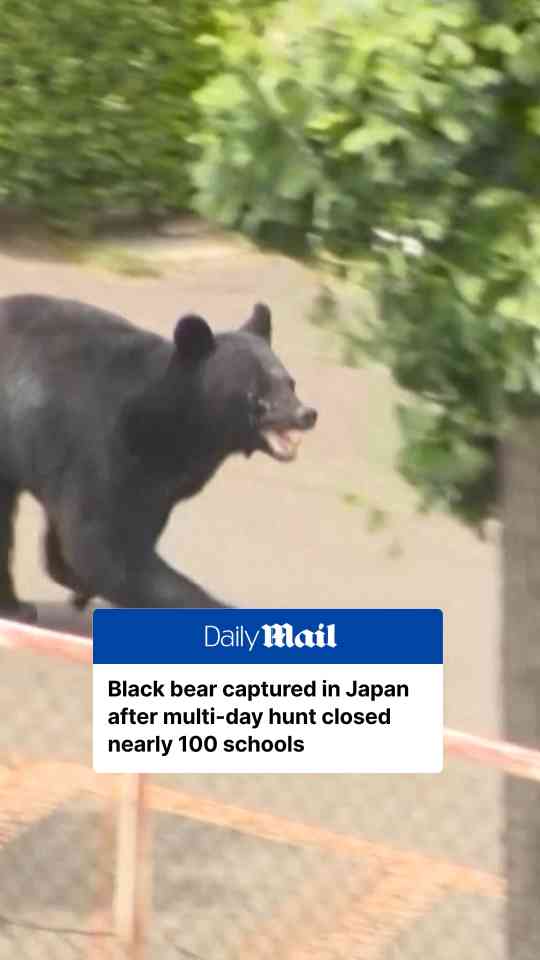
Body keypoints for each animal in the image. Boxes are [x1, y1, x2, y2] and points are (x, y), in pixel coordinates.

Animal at [0, 294, 317, 620]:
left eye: (290, 383)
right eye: (257, 394)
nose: (305, 414)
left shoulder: (161, 484)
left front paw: (74, 582)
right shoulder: (103, 448)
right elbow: (100, 546)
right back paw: (17, 607)